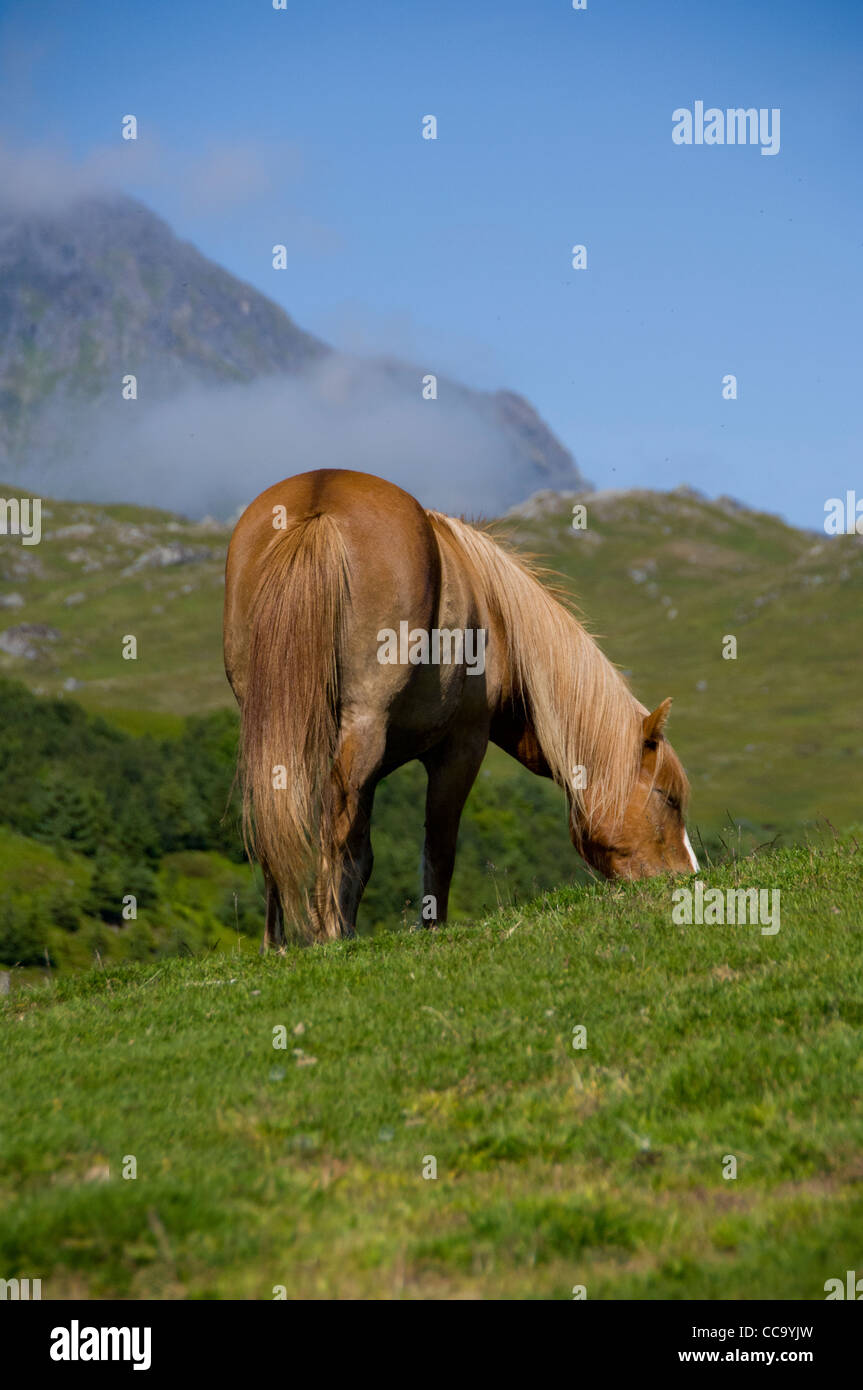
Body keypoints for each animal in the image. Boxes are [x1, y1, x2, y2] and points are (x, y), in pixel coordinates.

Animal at [223, 468, 698, 946]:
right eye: (668, 798)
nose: (688, 877)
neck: (499, 616)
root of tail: (321, 498)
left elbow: (363, 854)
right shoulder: (461, 747)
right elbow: (438, 847)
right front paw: (427, 929)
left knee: (277, 820)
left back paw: (280, 945)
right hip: (363, 725)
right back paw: (328, 934)